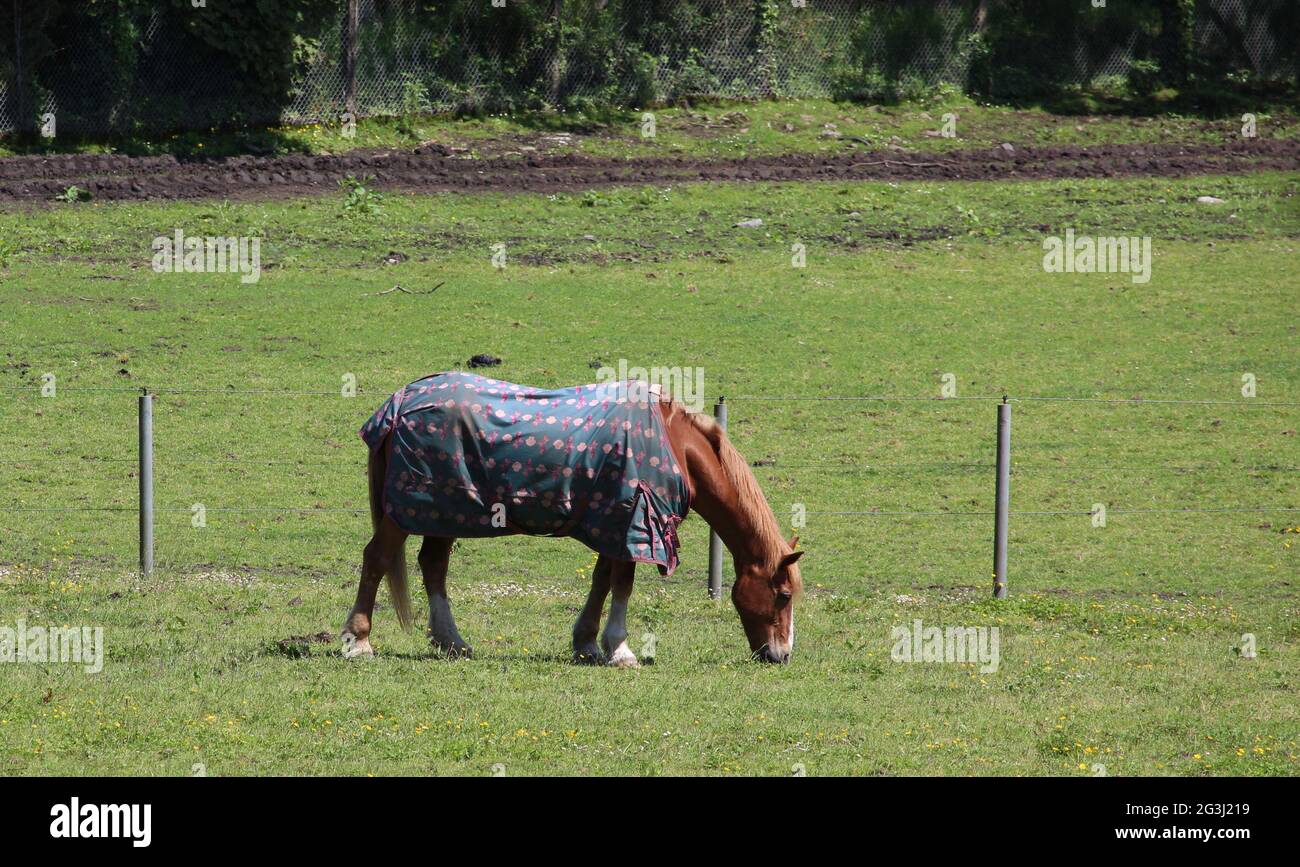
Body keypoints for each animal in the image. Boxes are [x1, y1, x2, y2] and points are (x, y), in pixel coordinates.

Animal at [341, 372, 803, 666]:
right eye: (783, 596)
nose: (780, 656)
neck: (675, 446)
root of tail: (401, 402)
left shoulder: (612, 526)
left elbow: (602, 581)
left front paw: (587, 644)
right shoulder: (634, 523)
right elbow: (622, 584)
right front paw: (620, 650)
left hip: (442, 513)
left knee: (433, 566)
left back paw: (452, 642)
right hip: (405, 514)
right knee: (377, 558)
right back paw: (359, 641)